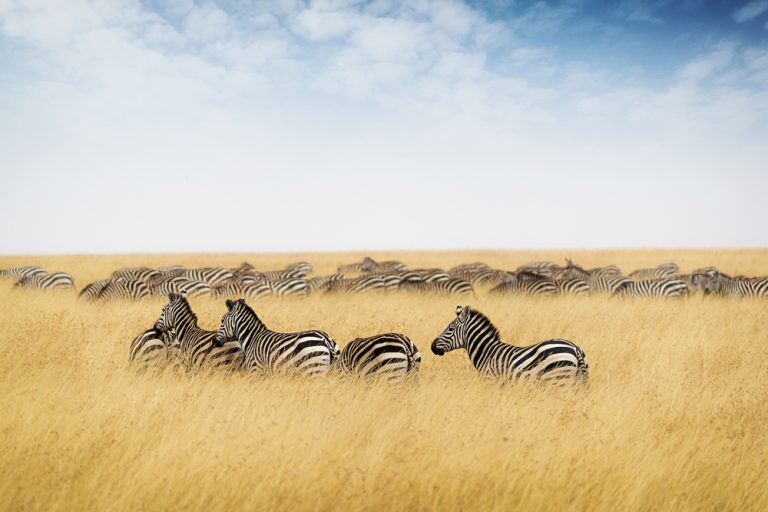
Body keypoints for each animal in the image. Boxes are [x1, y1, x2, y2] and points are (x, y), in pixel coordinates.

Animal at [211, 298, 339, 376]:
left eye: (222, 321)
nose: (214, 341)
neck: (252, 339)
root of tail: (325, 339)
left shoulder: (256, 369)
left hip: (313, 369)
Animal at [431, 306, 588, 384]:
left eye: (450, 328)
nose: (432, 346)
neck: (486, 352)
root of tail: (575, 348)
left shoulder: (490, 381)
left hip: (557, 379)